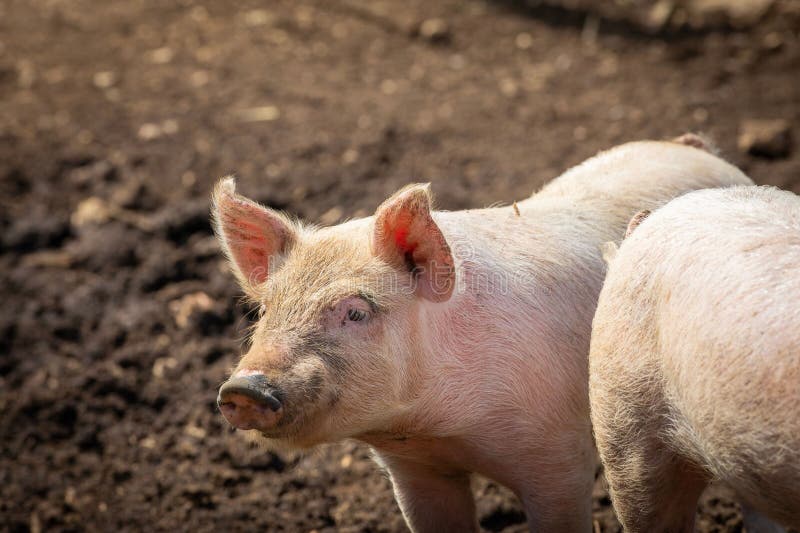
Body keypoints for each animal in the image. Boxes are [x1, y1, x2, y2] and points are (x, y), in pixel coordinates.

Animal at [213, 136, 752, 532]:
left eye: (356, 312)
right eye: (265, 309)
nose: (244, 389)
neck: (442, 426)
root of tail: (691, 146)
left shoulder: (559, 454)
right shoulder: (414, 469)